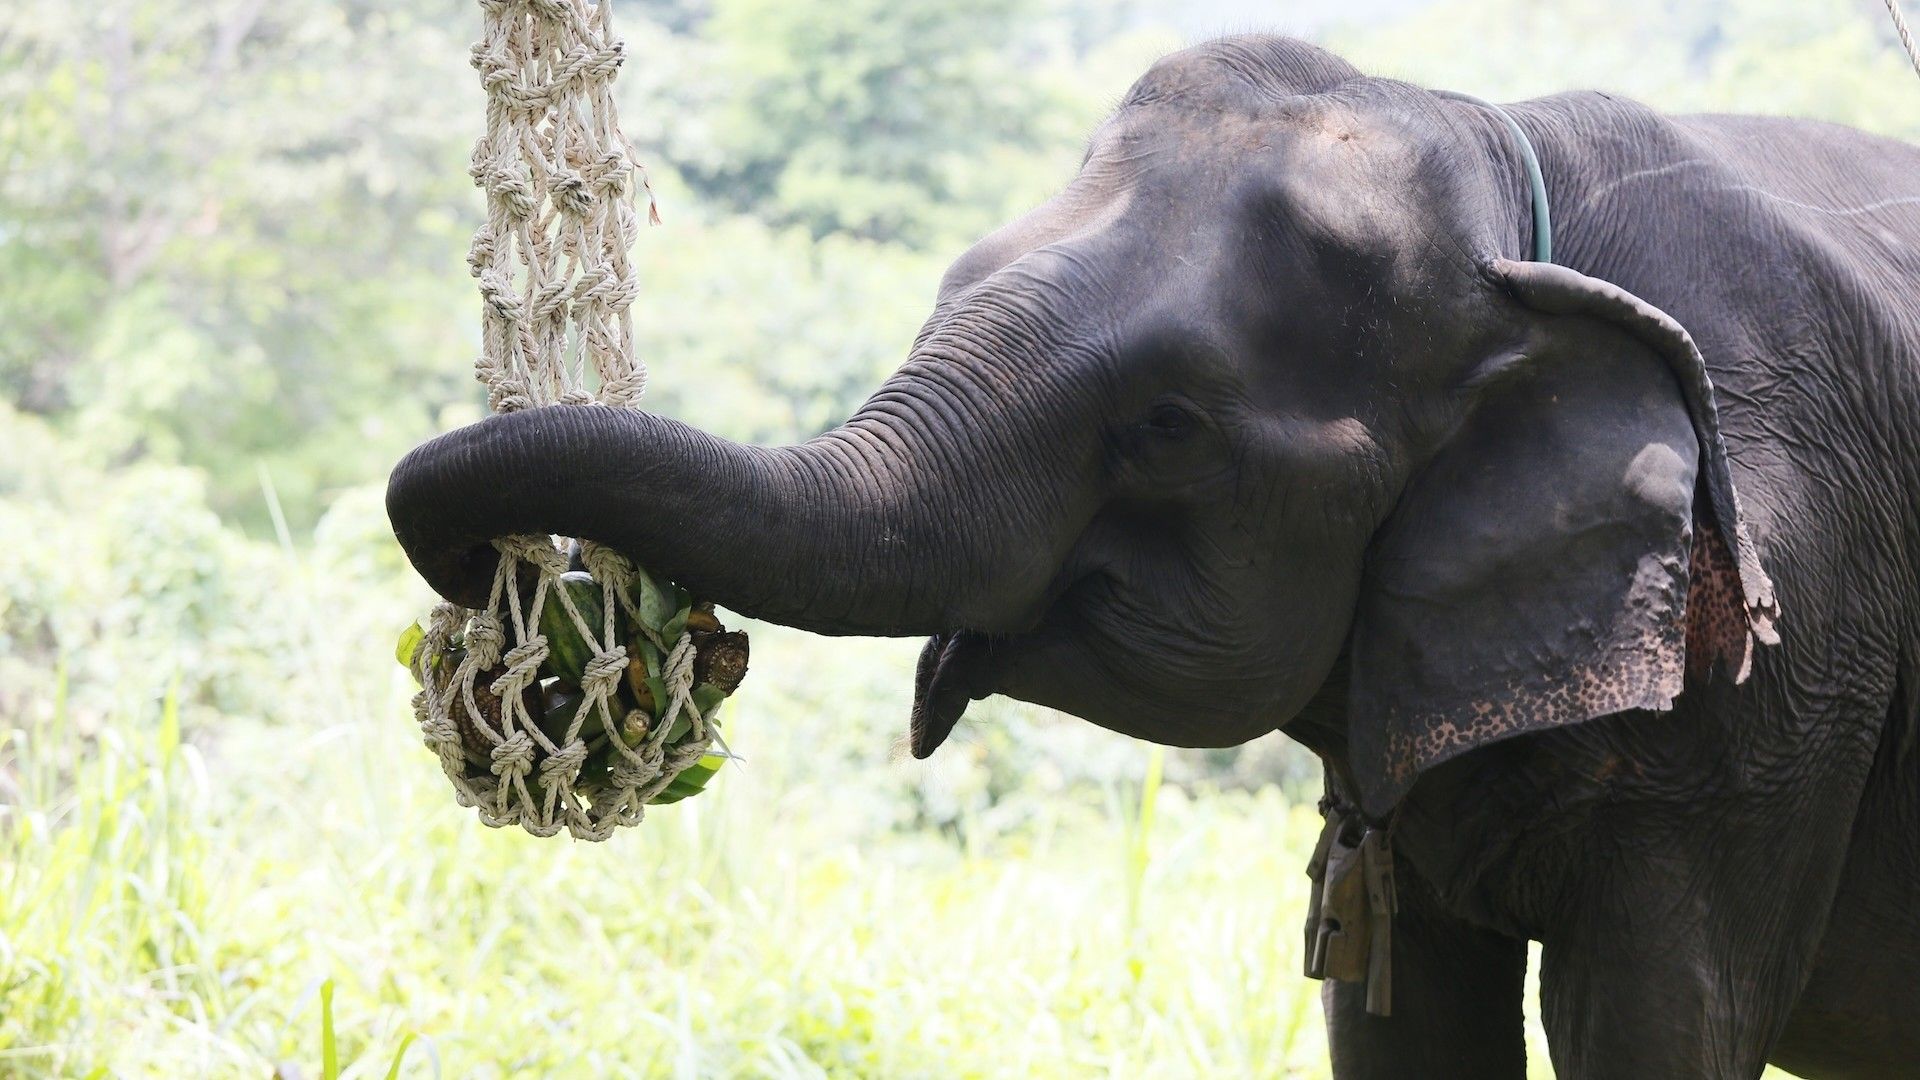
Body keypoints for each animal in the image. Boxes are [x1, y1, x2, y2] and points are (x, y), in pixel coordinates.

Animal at [387, 36, 1920, 1079]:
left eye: (1169, 426)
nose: (510, 592)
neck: (1502, 176)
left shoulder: (1777, 682)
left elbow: (1660, 1020)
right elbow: (1402, 1011)